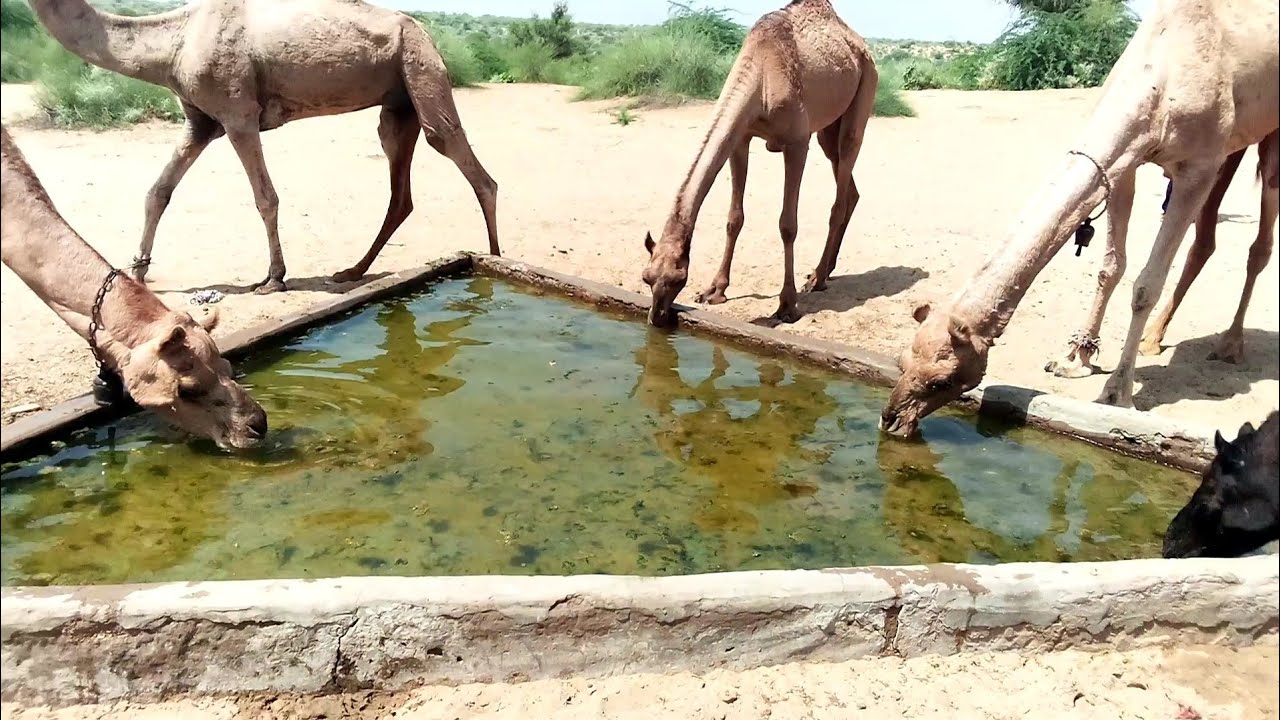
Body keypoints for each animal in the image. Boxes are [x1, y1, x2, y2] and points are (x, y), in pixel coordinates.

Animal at [28, 0, 499, 294]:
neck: (174, 42)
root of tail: (424, 30)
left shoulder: (238, 114)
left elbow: (265, 197)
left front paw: (273, 279)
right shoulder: (200, 122)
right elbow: (157, 192)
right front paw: (137, 272)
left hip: (421, 65)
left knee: (463, 158)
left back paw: (495, 264)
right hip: (397, 103)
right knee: (399, 183)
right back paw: (351, 271)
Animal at [641, 0, 878, 327]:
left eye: (679, 278)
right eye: (646, 277)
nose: (657, 316)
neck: (761, 77)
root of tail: (861, 47)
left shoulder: (796, 142)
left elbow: (787, 225)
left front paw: (787, 305)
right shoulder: (741, 138)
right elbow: (734, 218)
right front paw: (714, 290)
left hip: (863, 93)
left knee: (842, 186)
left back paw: (817, 278)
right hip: (827, 131)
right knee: (849, 188)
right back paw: (826, 270)